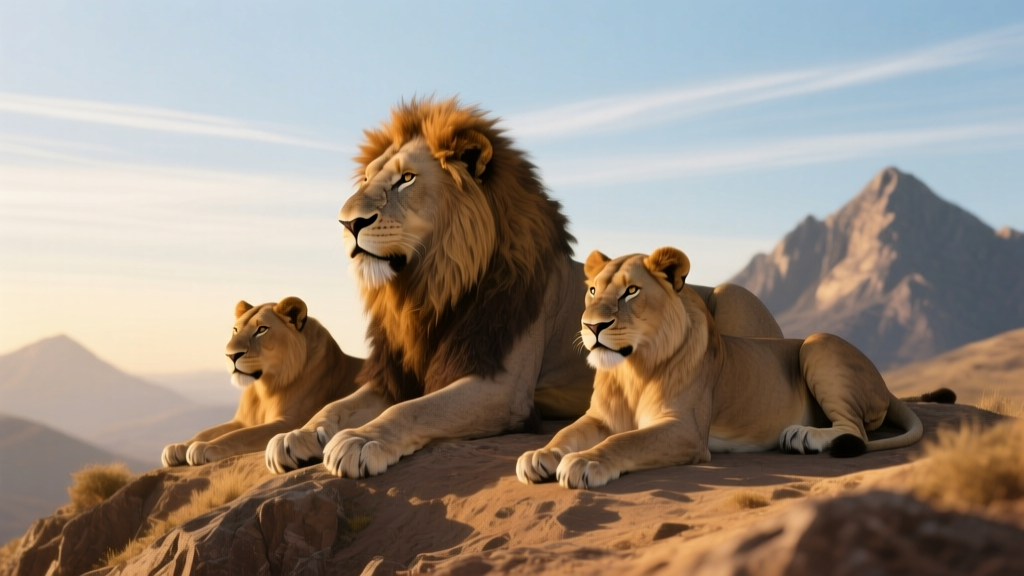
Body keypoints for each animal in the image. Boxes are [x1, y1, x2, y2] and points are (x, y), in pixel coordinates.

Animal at [161, 297, 362, 467]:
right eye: (235, 330)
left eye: (261, 330)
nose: (230, 355)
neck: (263, 388)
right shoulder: (242, 420)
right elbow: (209, 431)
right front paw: (180, 446)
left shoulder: (290, 422)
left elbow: (240, 435)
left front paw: (205, 447)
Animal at [265, 98, 784, 478]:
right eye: (368, 179)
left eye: (406, 179)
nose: (348, 223)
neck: (428, 290)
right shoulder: (399, 372)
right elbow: (337, 405)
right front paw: (299, 436)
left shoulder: (501, 389)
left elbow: (413, 411)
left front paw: (361, 440)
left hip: (734, 297)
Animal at [517, 247, 931, 489]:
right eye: (592, 291)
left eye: (631, 291)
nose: (591, 326)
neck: (630, 369)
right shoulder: (600, 418)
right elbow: (567, 432)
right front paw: (540, 456)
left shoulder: (686, 431)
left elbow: (625, 440)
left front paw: (585, 461)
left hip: (817, 344)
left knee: (855, 430)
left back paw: (802, 436)